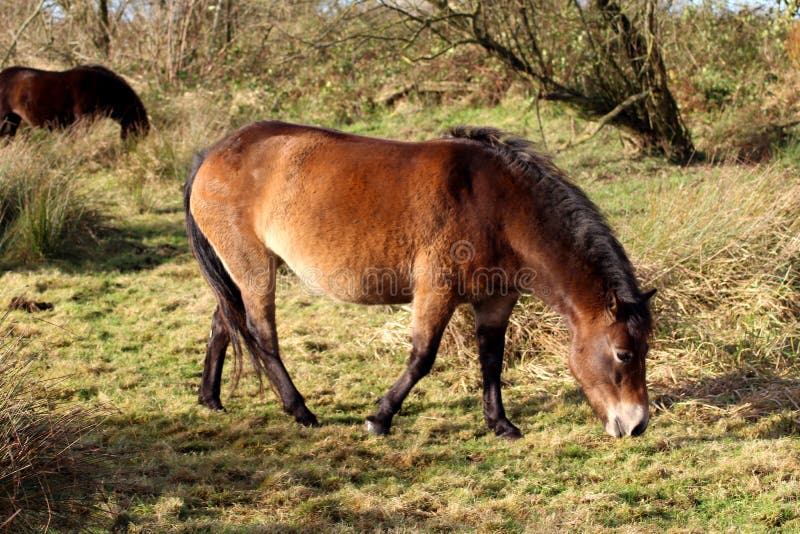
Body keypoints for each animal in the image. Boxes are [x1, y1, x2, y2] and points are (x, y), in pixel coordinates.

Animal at [184, 121, 656, 439]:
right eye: (624, 354)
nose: (637, 424)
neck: (498, 205)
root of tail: (215, 152)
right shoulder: (437, 292)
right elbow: (422, 358)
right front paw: (380, 418)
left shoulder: (497, 299)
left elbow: (492, 360)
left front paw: (500, 423)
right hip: (255, 269)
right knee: (261, 333)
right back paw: (300, 411)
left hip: (242, 271)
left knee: (223, 323)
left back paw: (210, 399)